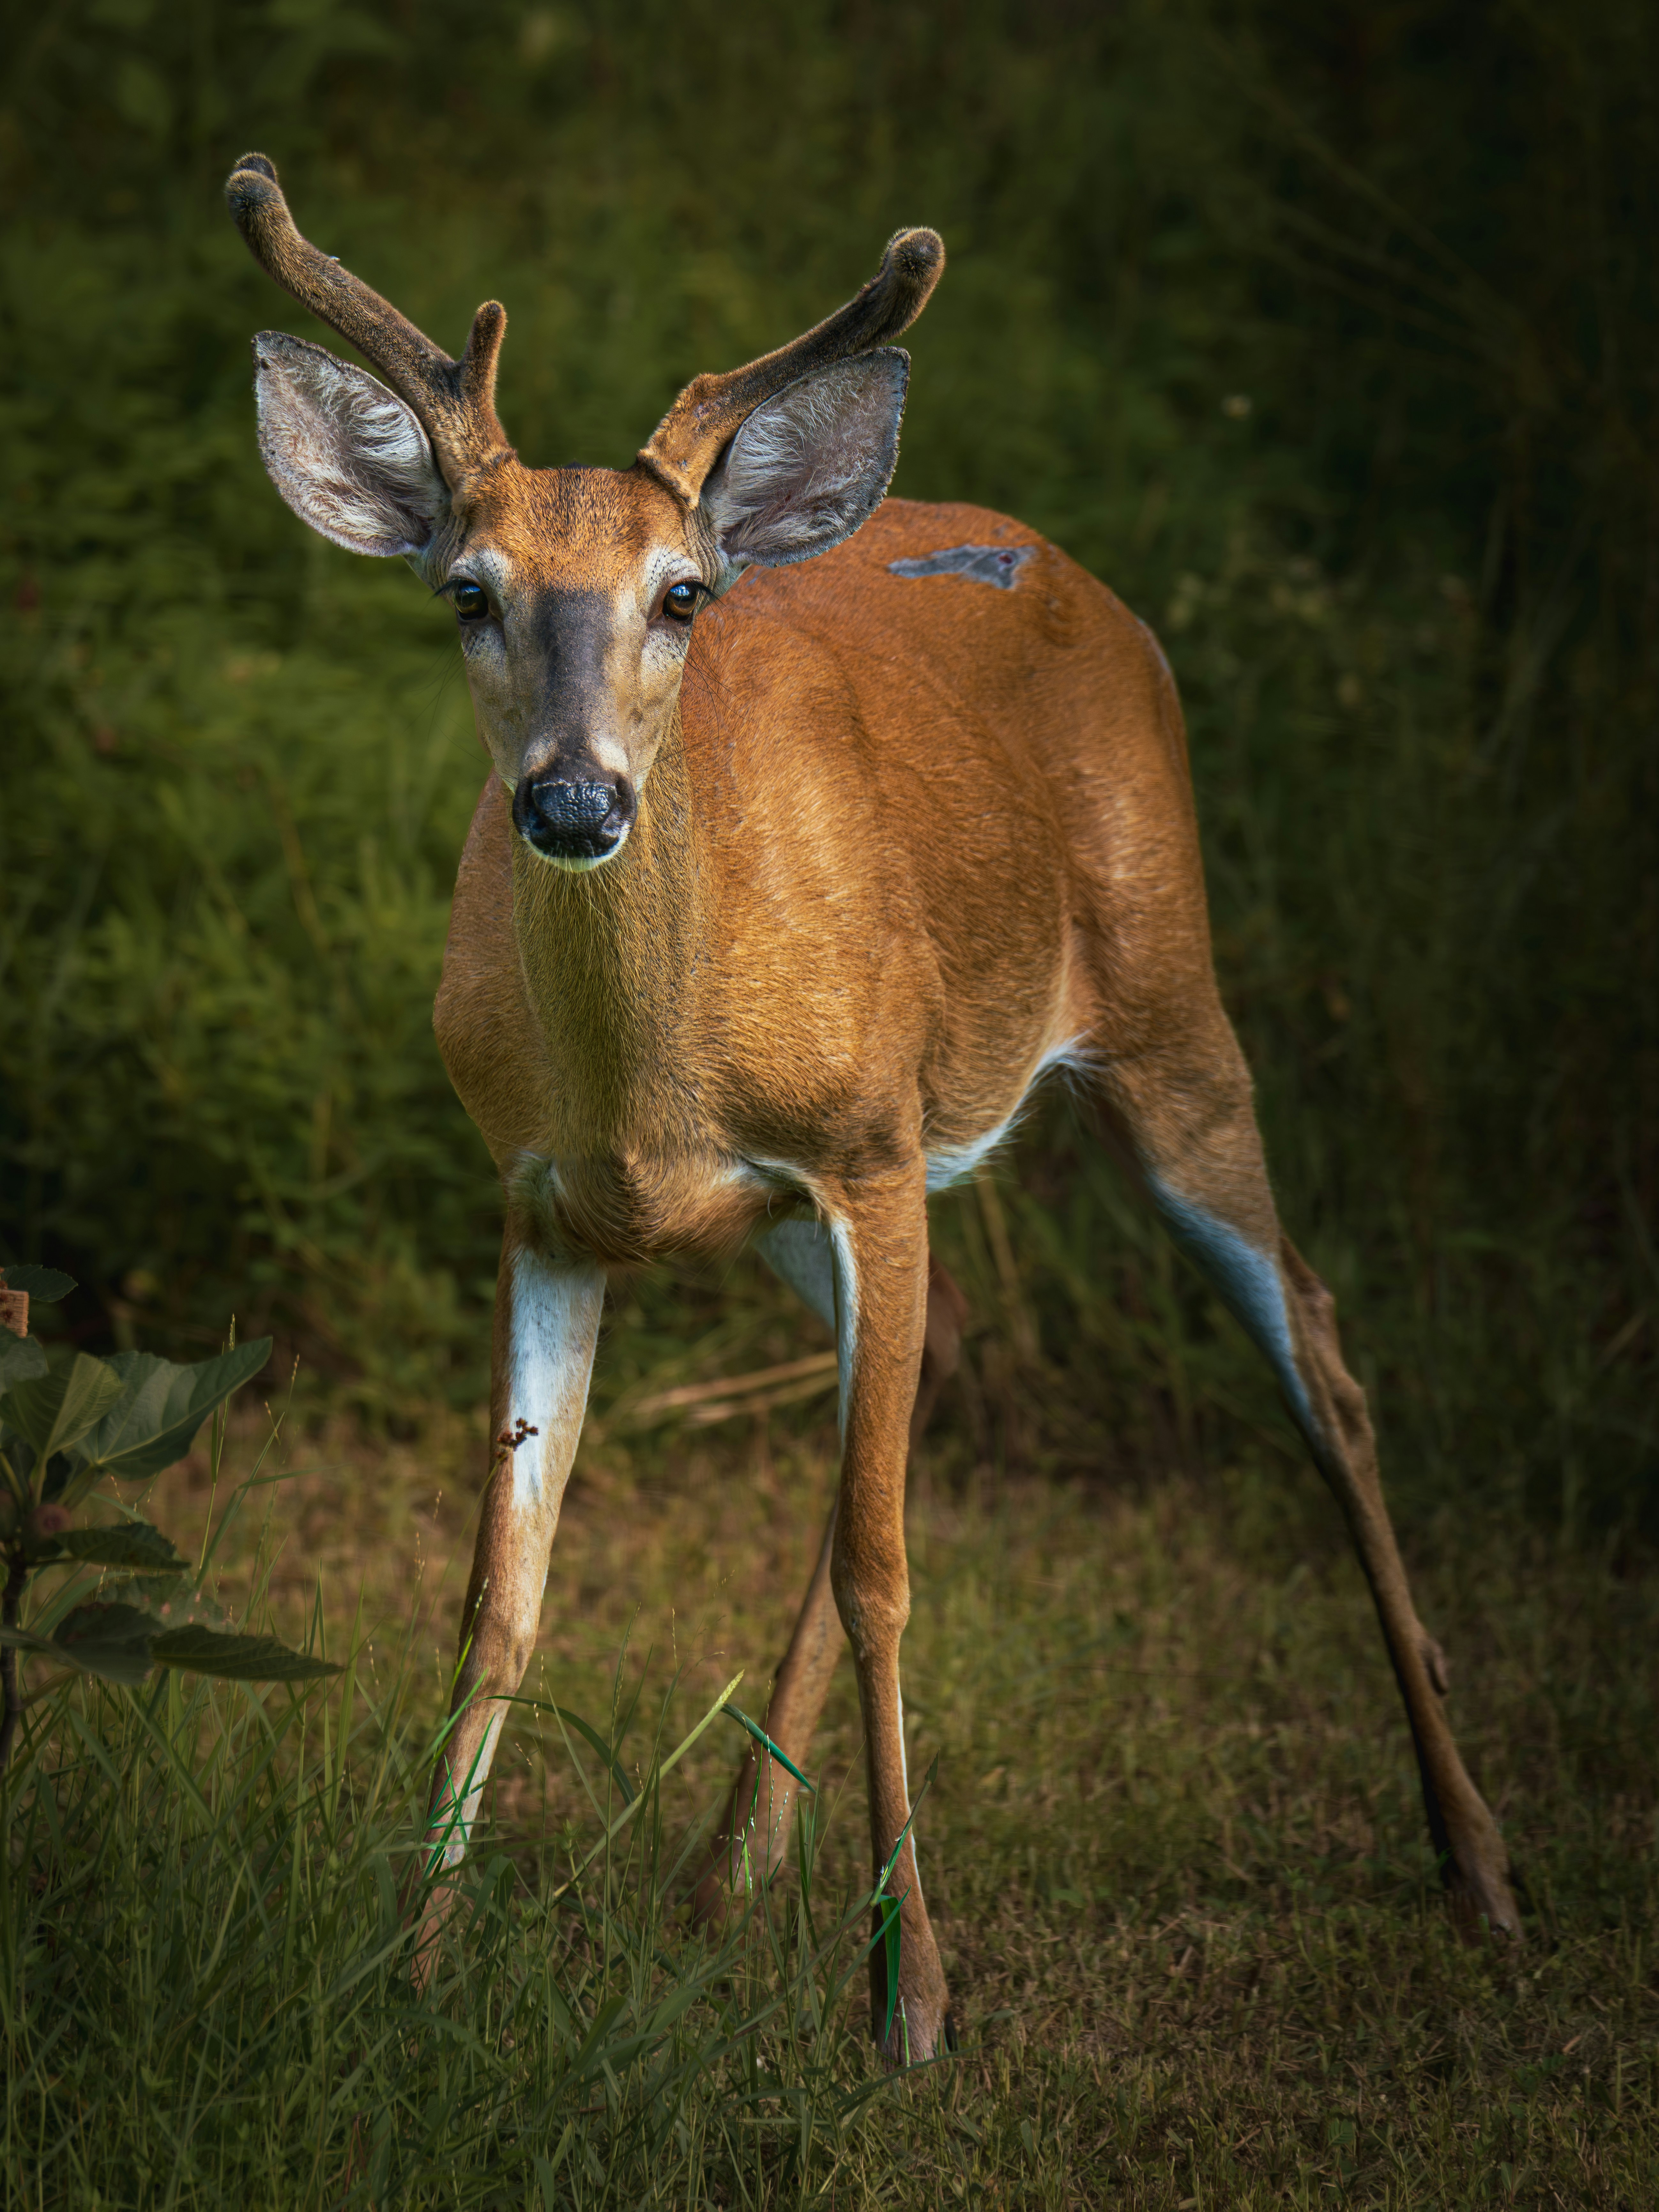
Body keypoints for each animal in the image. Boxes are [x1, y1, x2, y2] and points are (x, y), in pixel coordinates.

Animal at [224, 152, 1519, 2064]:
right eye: (464, 589)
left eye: (683, 596)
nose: (571, 798)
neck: (650, 1085)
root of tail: (1084, 576)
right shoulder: (539, 1199)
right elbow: (504, 1591)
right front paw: (407, 1958)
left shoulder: (868, 1141)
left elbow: (885, 1562)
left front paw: (912, 1992)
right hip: (821, 1211)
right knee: (942, 1365)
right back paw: (724, 1866)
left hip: (1165, 1006)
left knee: (1325, 1358)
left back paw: (1475, 1857)